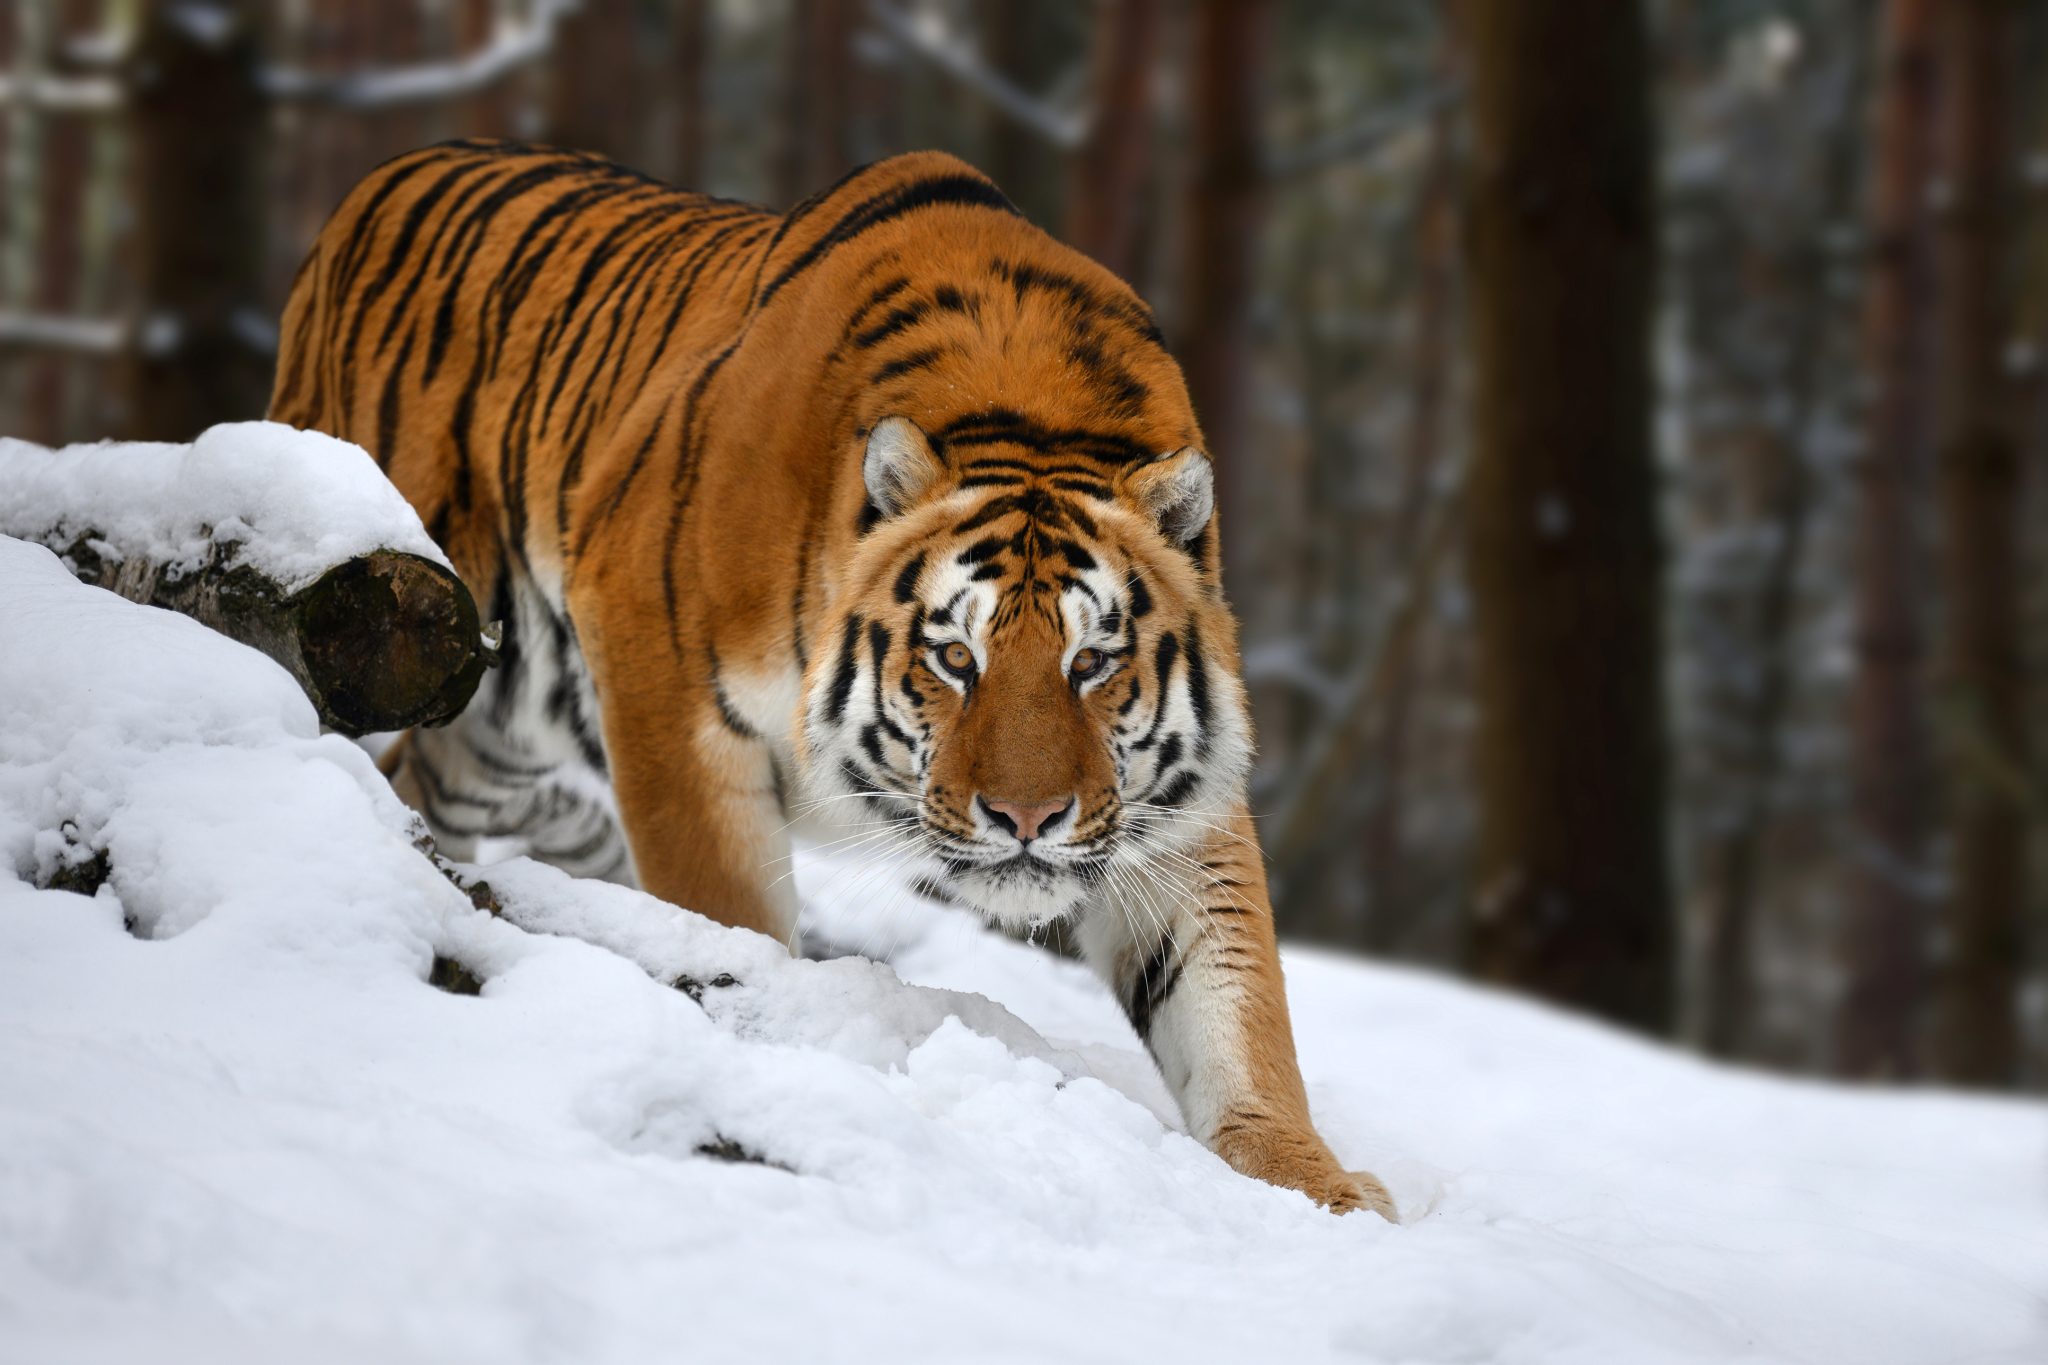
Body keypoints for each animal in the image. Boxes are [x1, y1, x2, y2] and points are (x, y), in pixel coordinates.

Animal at [270, 139, 1397, 1218]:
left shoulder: (1170, 803)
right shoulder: (665, 688)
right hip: (377, 607)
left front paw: (1315, 1184)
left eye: (1091, 663)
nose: (1026, 819)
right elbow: (727, 909)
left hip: (482, 707)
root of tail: (379, 178)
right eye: (955, 658)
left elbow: (1231, 997)